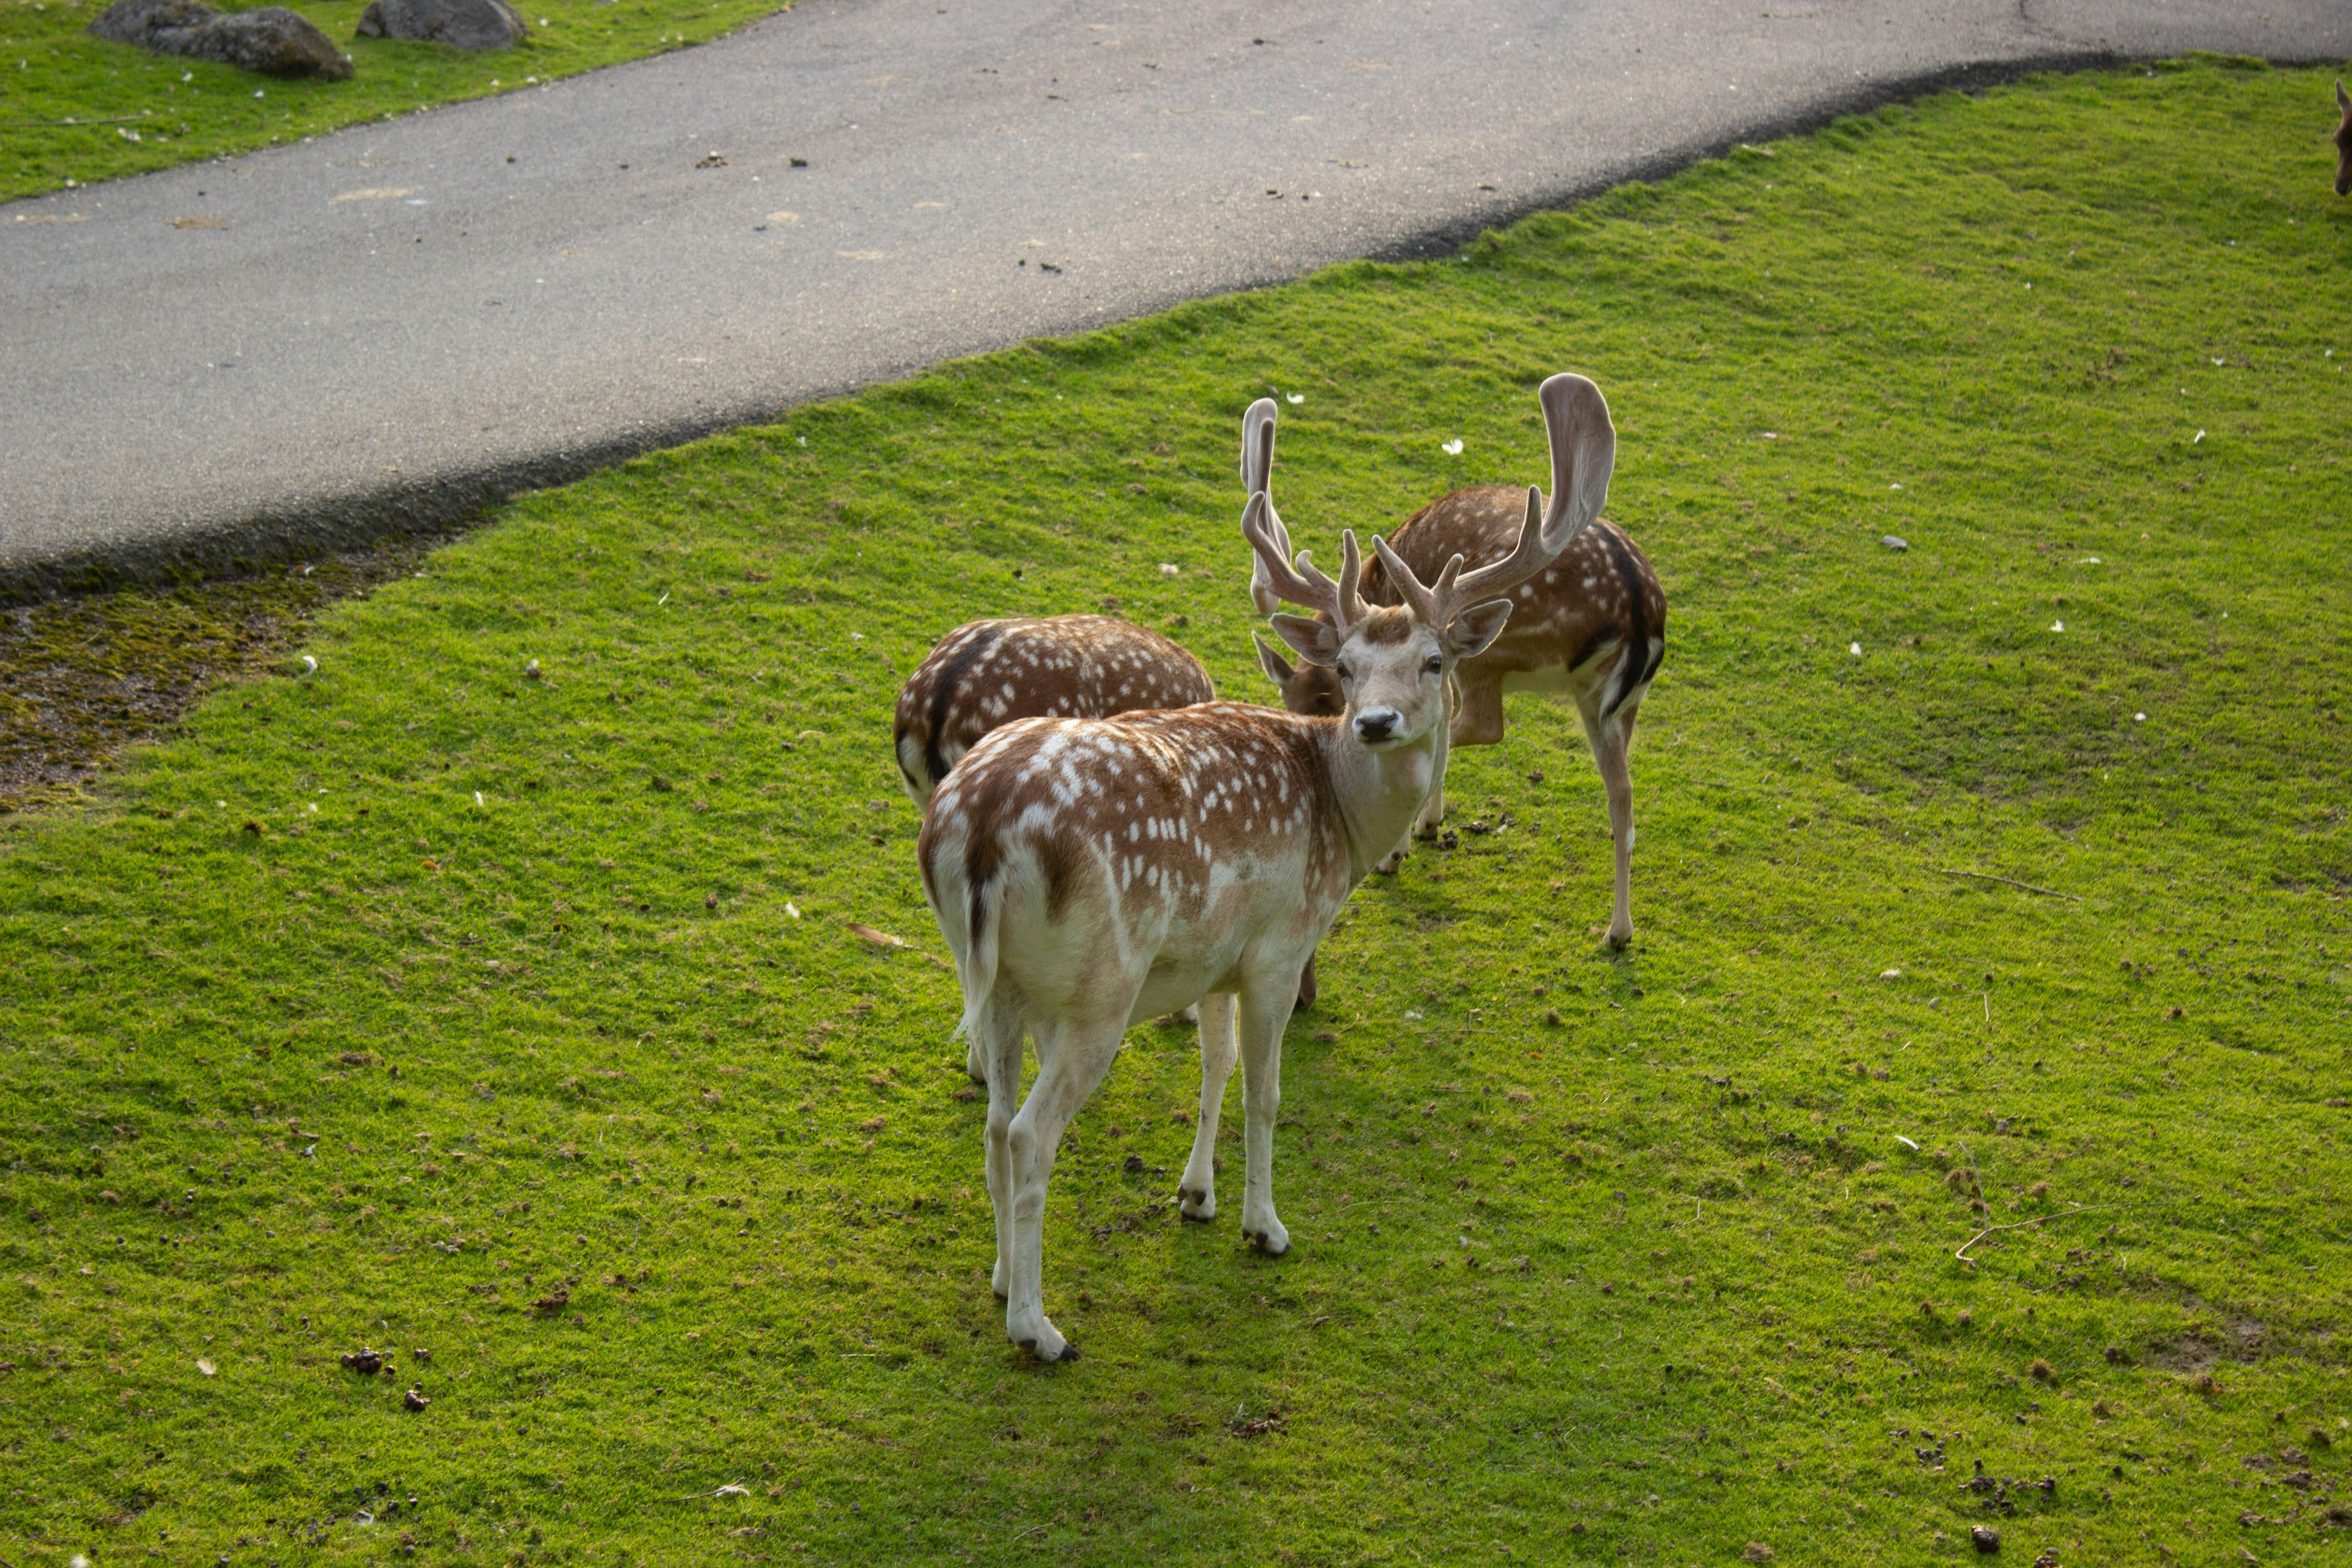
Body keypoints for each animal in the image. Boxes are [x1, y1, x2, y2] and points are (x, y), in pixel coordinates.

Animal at [915, 373, 1616, 1360]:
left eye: (1432, 660)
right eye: (1348, 666)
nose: (1375, 723)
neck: (1341, 822)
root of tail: (976, 829)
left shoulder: (1212, 957)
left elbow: (1212, 1068)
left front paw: (1197, 1196)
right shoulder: (1282, 947)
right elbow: (1266, 1091)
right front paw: (1266, 1226)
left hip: (1000, 981)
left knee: (990, 1118)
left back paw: (1001, 1278)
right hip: (1098, 987)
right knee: (1028, 1133)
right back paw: (1038, 1327)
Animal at [1241, 373, 1662, 948]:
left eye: (1322, 699)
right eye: (1342, 672)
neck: (1379, 585)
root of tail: (1637, 604)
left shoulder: (1454, 659)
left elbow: (1443, 729)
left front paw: (1412, 834)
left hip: (1499, 652)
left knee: (1483, 727)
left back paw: (1408, 839)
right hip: (1612, 700)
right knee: (1622, 792)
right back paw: (1619, 929)